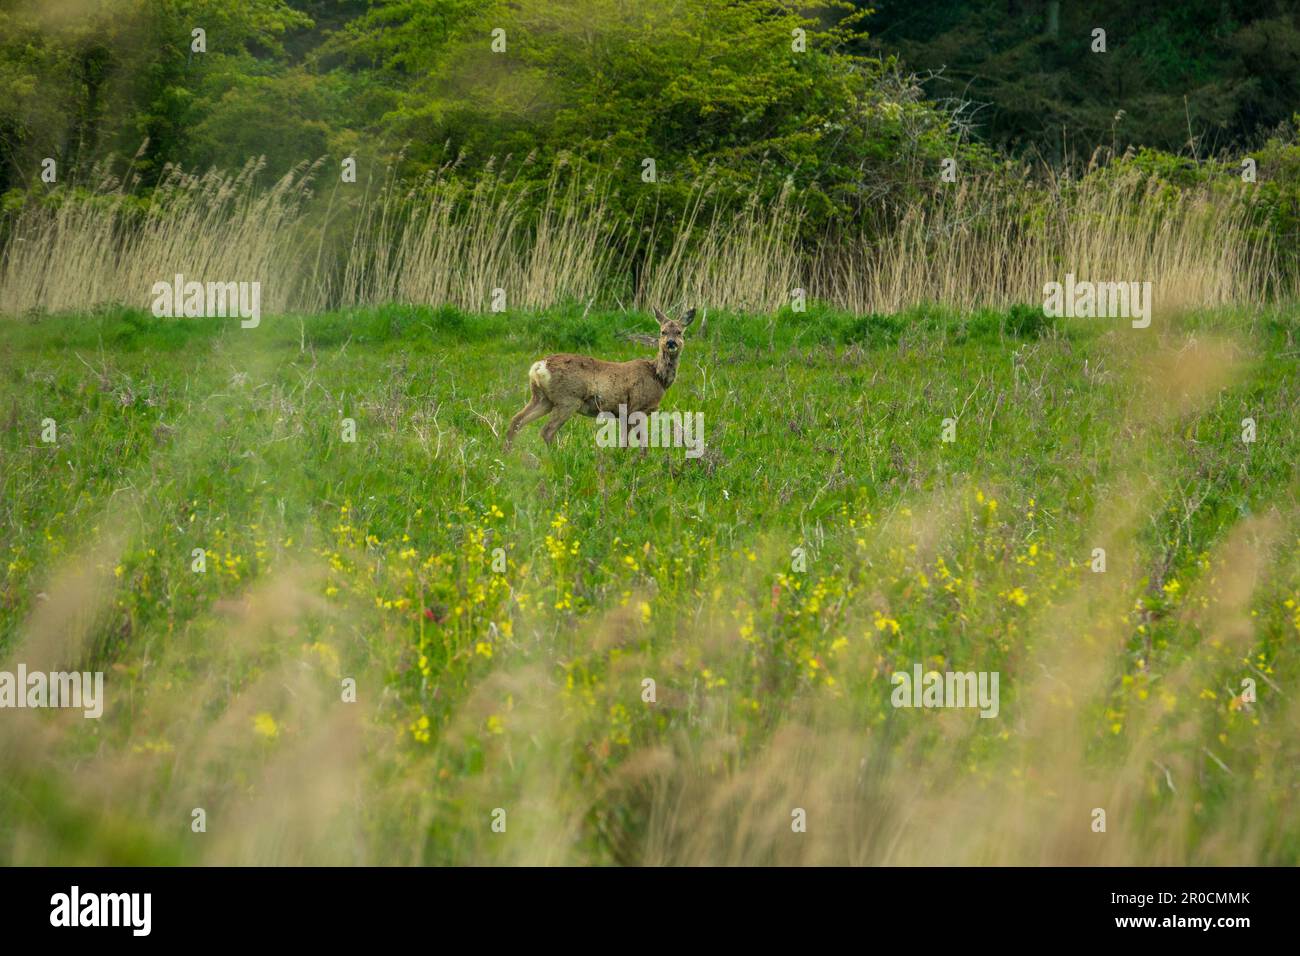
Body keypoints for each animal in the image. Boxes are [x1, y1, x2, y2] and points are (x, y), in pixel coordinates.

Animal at [504, 307, 697, 450]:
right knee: (547, 431)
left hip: (543, 398)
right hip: (568, 399)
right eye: (662, 332)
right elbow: (632, 443)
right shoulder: (635, 407)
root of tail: (538, 367)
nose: (671, 343)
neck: (657, 377)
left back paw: (507, 455)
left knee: (516, 420)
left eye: (679, 332)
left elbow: (633, 443)